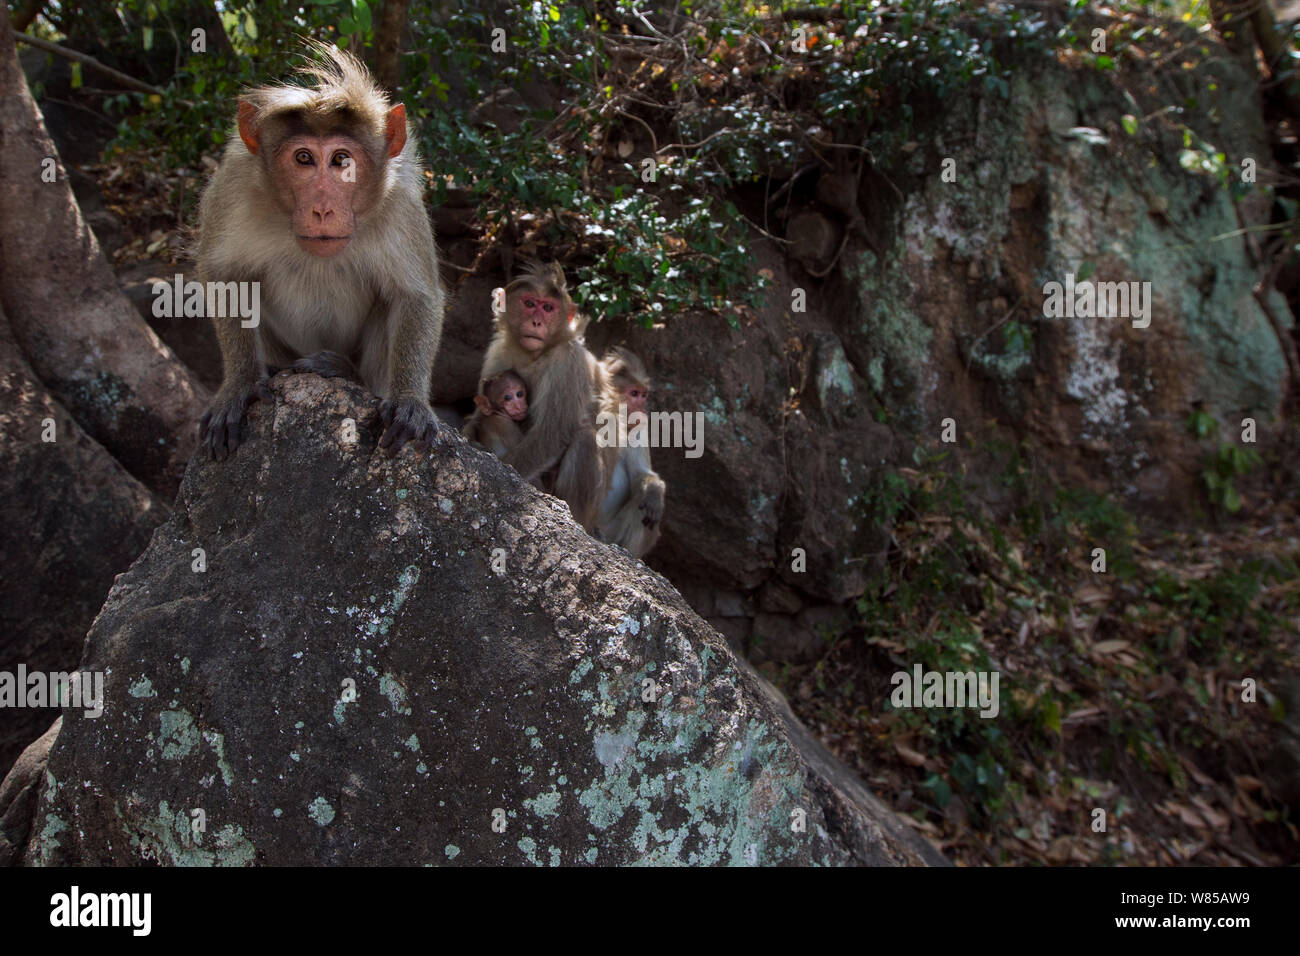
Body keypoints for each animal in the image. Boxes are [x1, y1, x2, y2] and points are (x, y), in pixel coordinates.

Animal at [196, 40, 445, 459]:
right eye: (303, 158)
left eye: (341, 159)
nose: (323, 209)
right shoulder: (234, 187)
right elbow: (224, 276)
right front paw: (239, 384)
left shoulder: (400, 205)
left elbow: (415, 295)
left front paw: (410, 401)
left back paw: (343, 370)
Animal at [477, 262, 604, 531]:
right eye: (529, 303)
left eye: (548, 308)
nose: (536, 322)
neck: (534, 354)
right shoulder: (498, 352)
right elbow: (481, 409)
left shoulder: (569, 361)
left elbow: (553, 430)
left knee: (585, 437)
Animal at [596, 347, 666, 558]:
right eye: (634, 393)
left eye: (643, 395)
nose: (642, 408)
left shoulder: (639, 430)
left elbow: (641, 475)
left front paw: (654, 490)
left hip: (613, 531)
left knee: (642, 501)